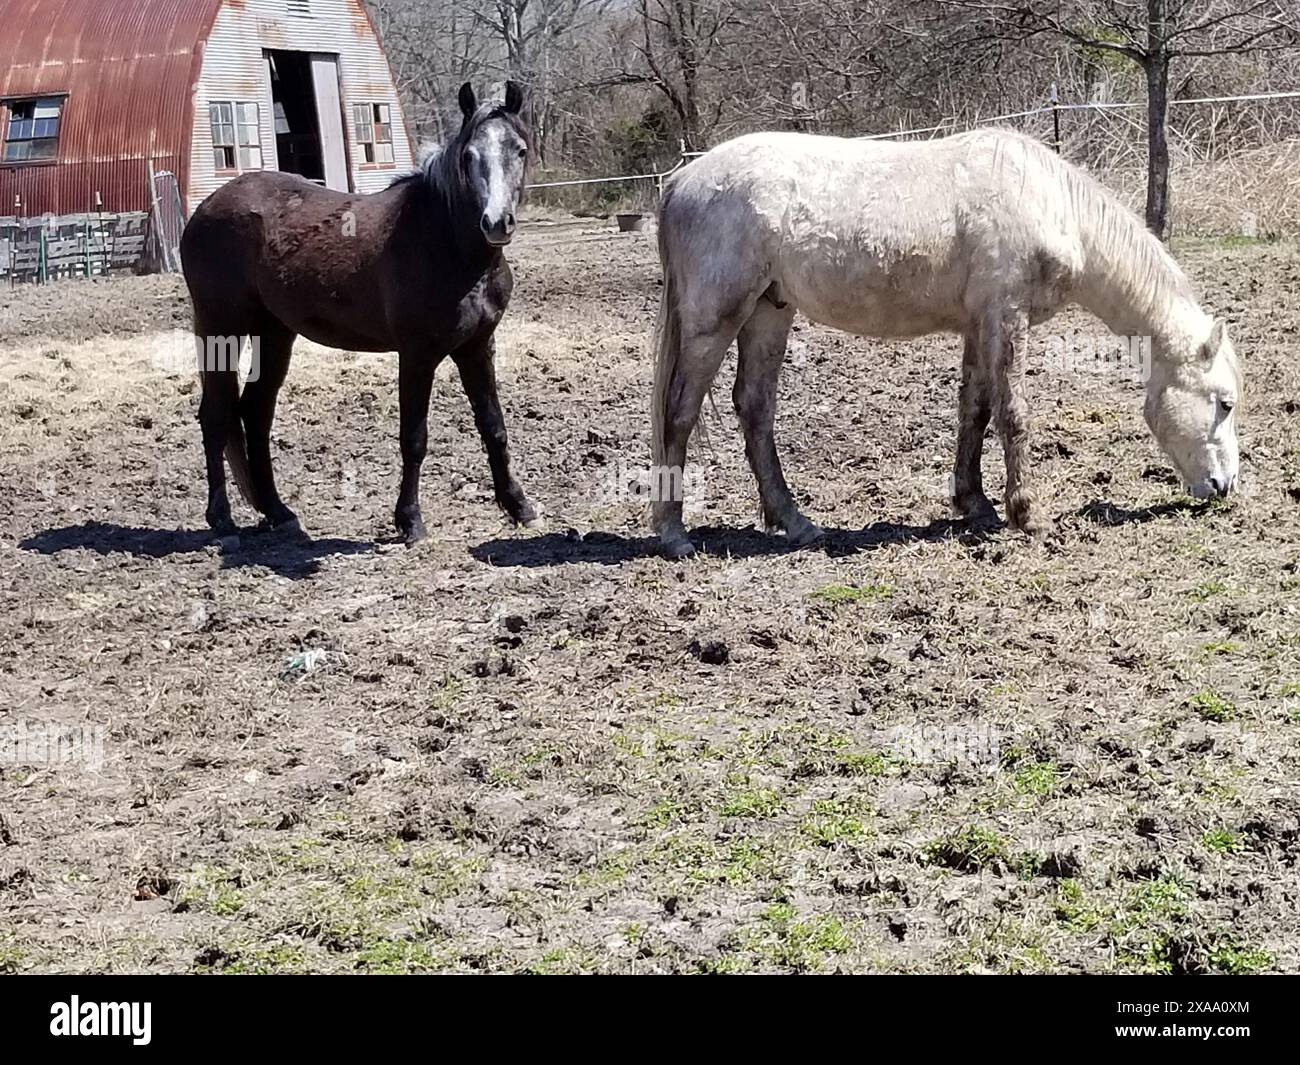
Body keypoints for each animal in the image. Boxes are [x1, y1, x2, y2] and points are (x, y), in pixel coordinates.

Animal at [180, 82, 538, 545]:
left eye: (520, 150)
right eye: (468, 156)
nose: (497, 222)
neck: (446, 244)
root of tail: (204, 209)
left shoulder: (477, 348)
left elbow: (494, 427)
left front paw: (519, 506)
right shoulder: (418, 355)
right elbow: (414, 437)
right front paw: (410, 520)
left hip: (273, 333)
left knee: (254, 414)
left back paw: (278, 512)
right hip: (220, 327)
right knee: (216, 415)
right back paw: (222, 519)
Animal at [650, 128, 1242, 558]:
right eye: (1225, 403)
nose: (1224, 486)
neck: (1047, 201)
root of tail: (681, 181)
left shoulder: (980, 325)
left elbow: (974, 412)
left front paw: (973, 503)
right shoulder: (1006, 317)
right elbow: (1012, 414)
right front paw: (1027, 514)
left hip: (769, 313)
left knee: (754, 409)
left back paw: (796, 523)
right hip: (714, 321)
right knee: (679, 411)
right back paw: (674, 534)